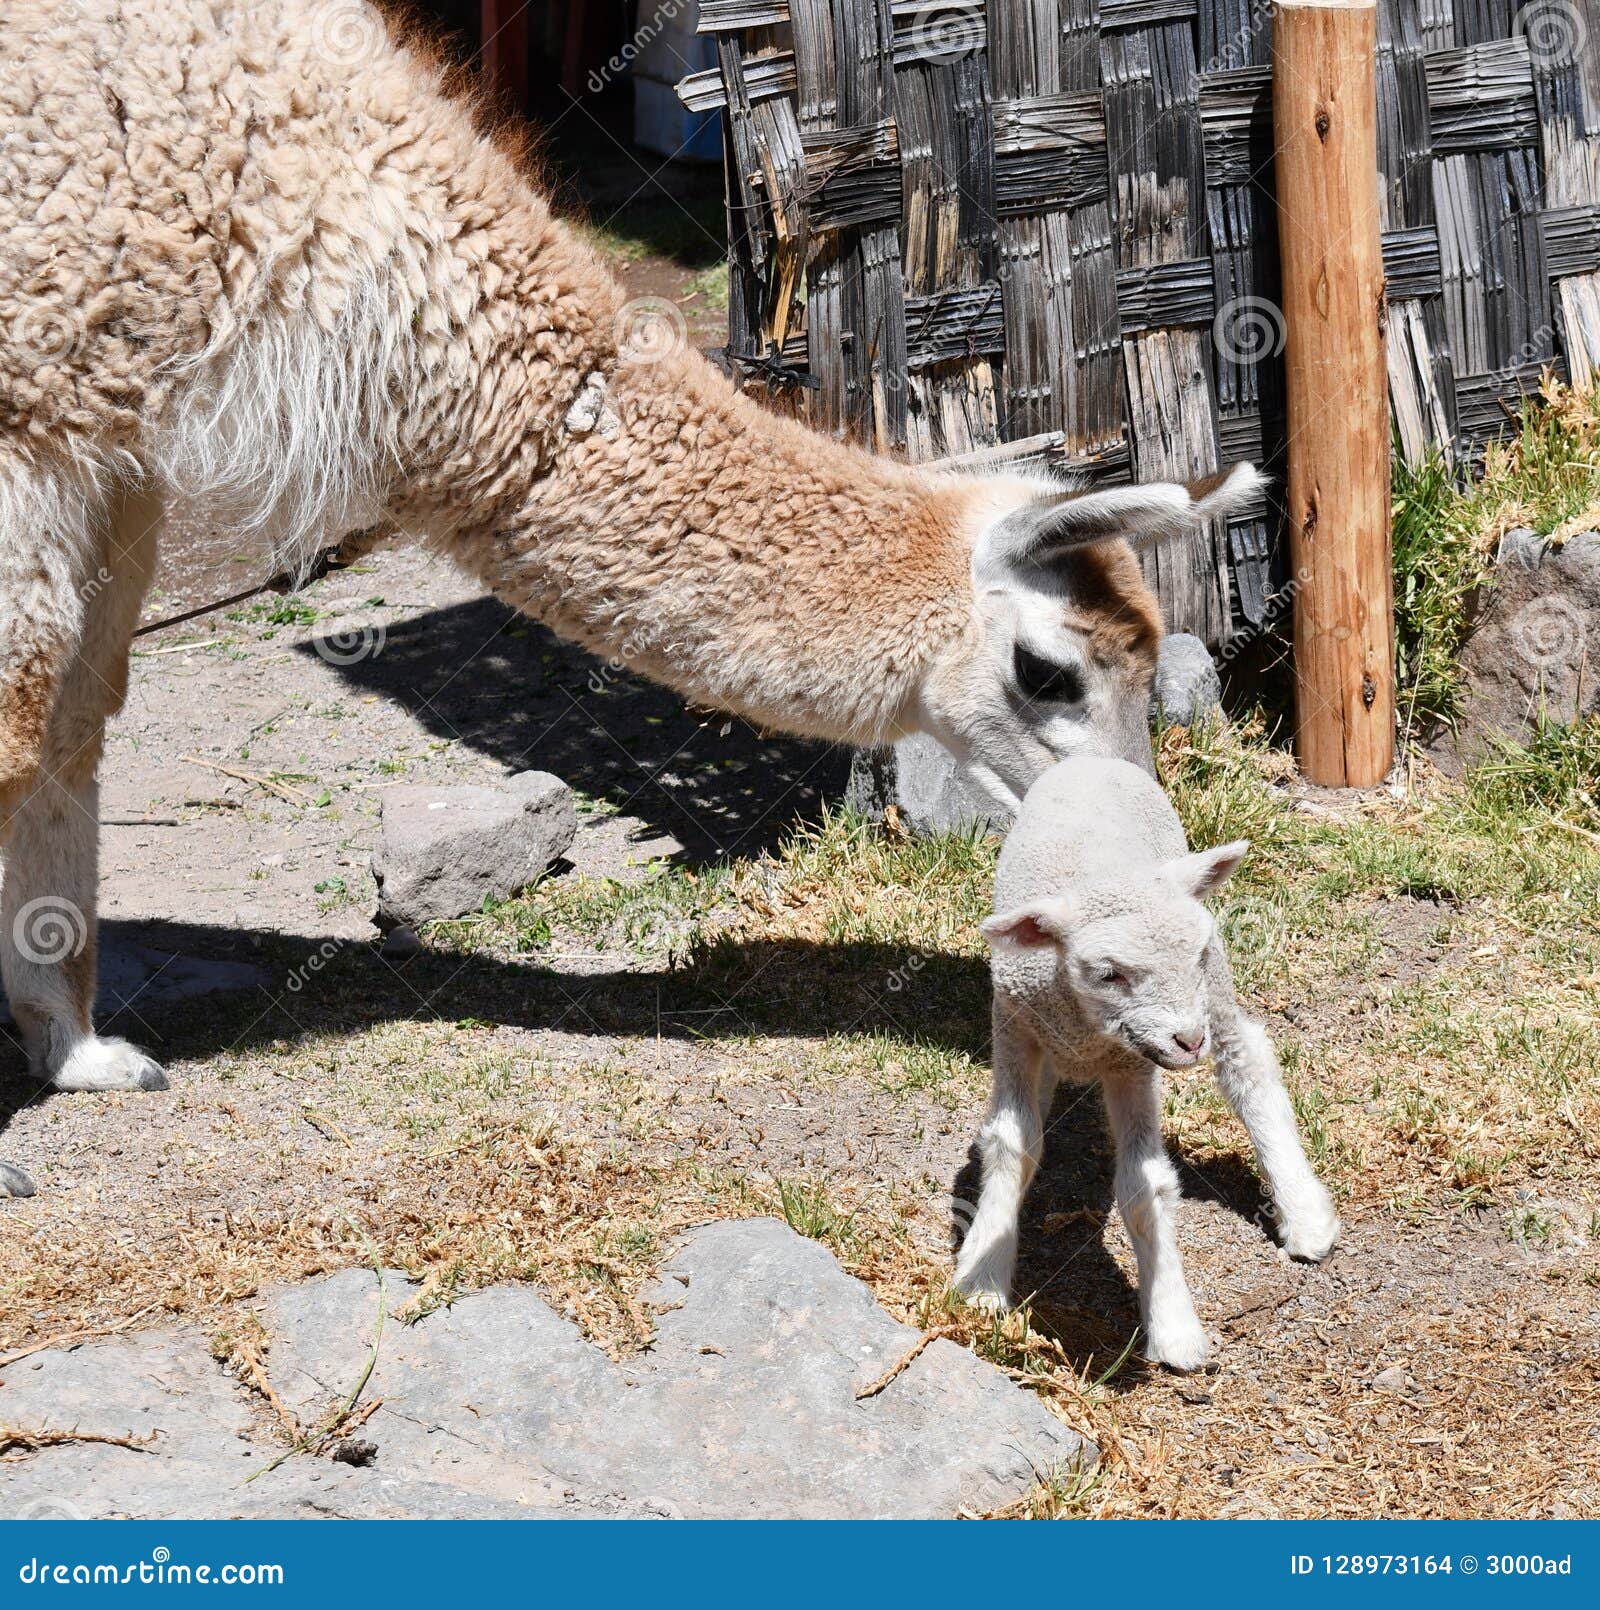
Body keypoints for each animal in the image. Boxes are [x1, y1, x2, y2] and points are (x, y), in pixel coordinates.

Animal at [0, 0, 1262, 1120]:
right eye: (1048, 671)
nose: (1141, 847)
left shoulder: (113, 442)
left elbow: (73, 721)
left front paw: (77, 1051)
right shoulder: (34, 421)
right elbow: (20, 719)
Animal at [953, 754, 1339, 1370]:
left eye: (1193, 954)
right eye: (1109, 974)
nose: (1188, 1040)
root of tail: (1093, 757)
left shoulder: (1132, 1065)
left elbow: (1144, 1186)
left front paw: (1172, 1322)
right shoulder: (1013, 1026)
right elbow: (1012, 1143)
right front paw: (983, 1277)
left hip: (1216, 993)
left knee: (1247, 1062)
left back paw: (1302, 1211)